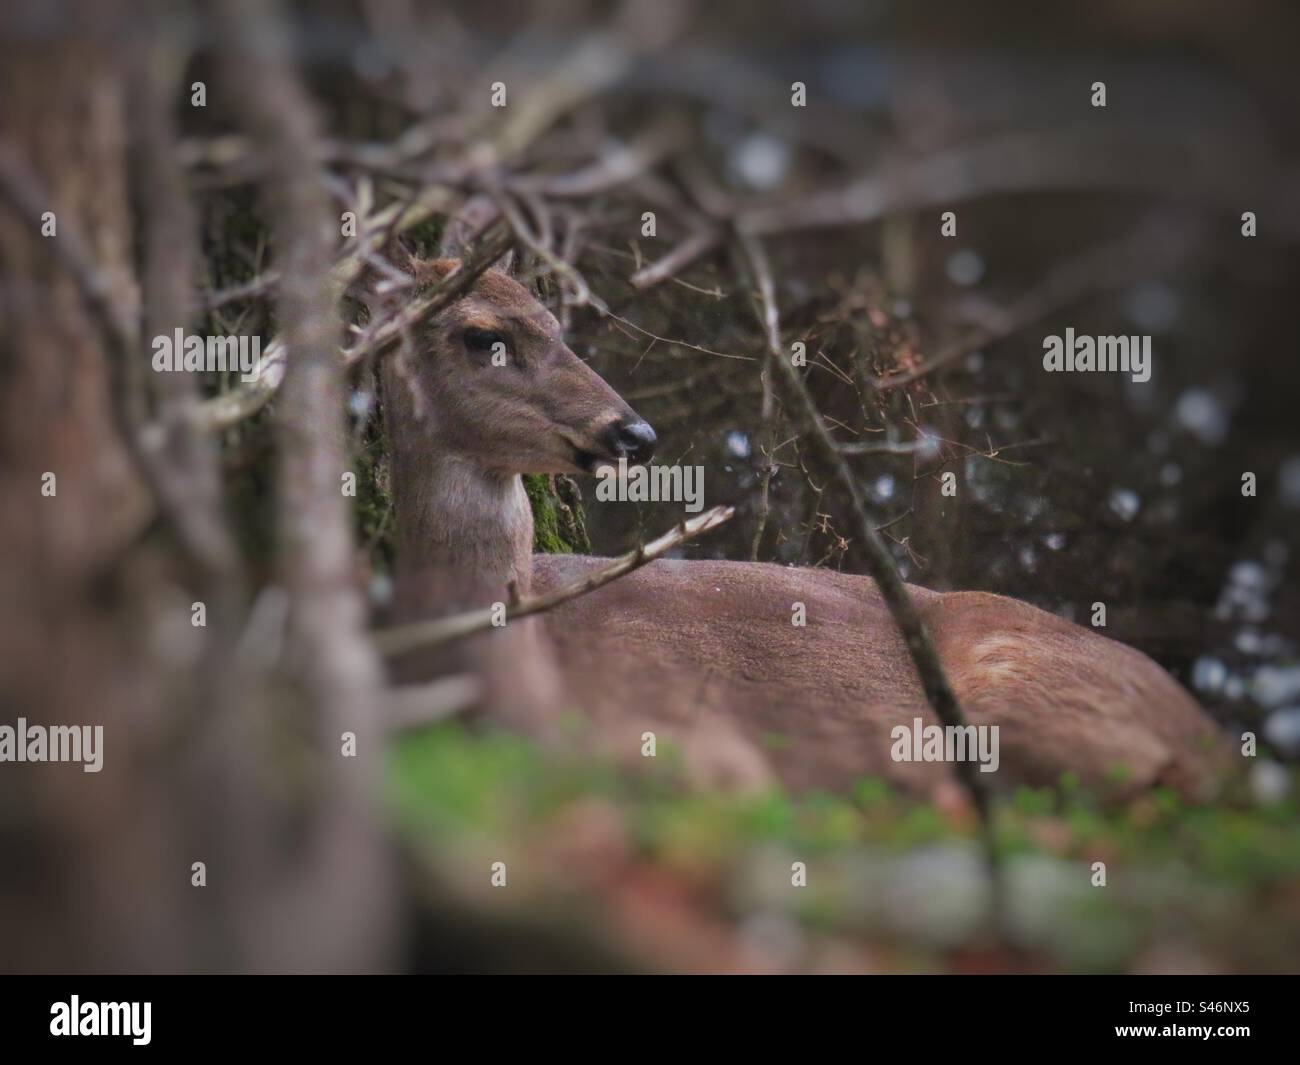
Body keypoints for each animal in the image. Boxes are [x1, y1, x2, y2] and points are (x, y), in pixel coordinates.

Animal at [376, 248, 1228, 802]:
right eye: (482, 335)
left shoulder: (700, 748)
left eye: (559, 325)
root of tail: (1215, 739)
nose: (633, 432)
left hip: (1022, 701)